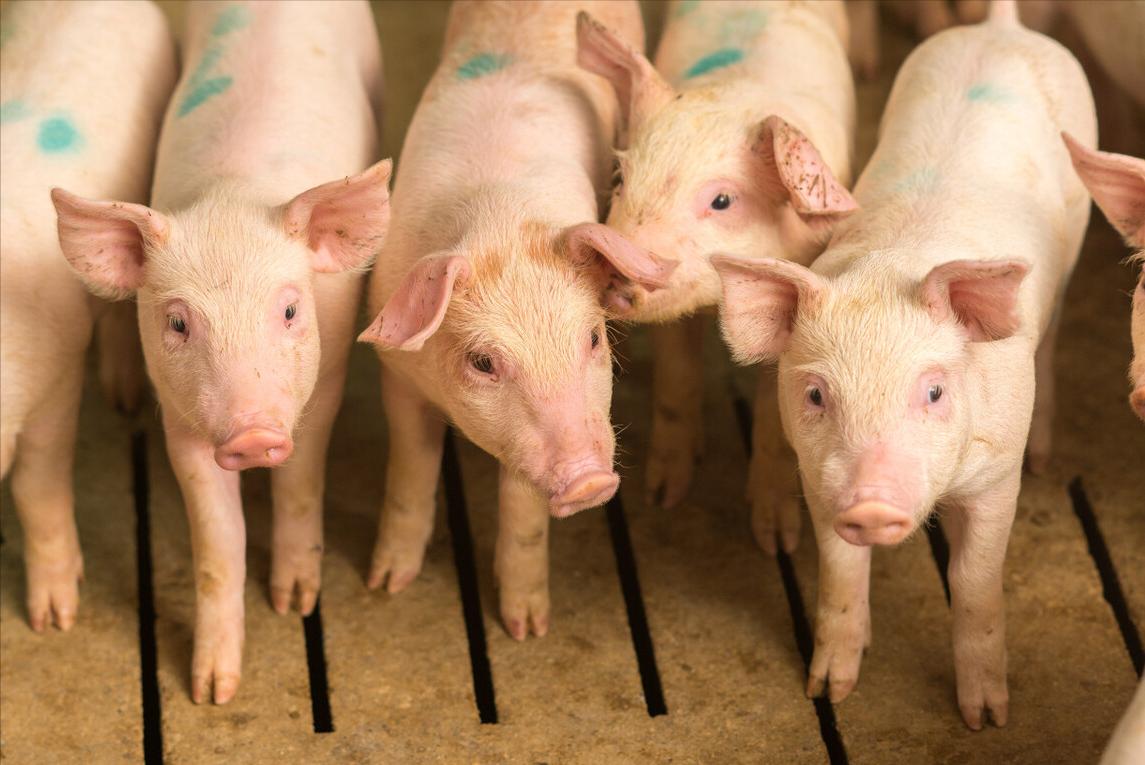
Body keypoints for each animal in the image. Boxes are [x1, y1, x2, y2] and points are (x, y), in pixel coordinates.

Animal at [51, 1, 388, 704]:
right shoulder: (180, 417)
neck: (232, 197)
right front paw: (212, 691)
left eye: (290, 310)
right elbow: (217, 542)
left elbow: (300, 485)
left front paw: (295, 602)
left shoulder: (325, 381)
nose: (254, 433)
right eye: (179, 322)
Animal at [358, 1, 673, 641]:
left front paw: (527, 629)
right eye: (483, 362)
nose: (590, 479)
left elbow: (522, 510)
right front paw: (385, 585)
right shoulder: (397, 374)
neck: (499, 222)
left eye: (593, 338)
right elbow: (410, 469)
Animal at [575, 1, 857, 554]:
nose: (619, 268)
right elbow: (676, 381)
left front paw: (776, 541)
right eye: (620, 179)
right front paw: (663, 497)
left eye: (723, 200)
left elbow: (774, 422)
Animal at [714, 2, 1094, 728]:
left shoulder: (996, 474)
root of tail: (1000, 28)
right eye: (815, 395)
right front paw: (829, 691)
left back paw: (1049, 451)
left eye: (935, 391)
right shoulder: (817, 477)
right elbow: (839, 571)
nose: (870, 503)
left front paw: (985, 719)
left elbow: (974, 582)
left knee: (1058, 333)